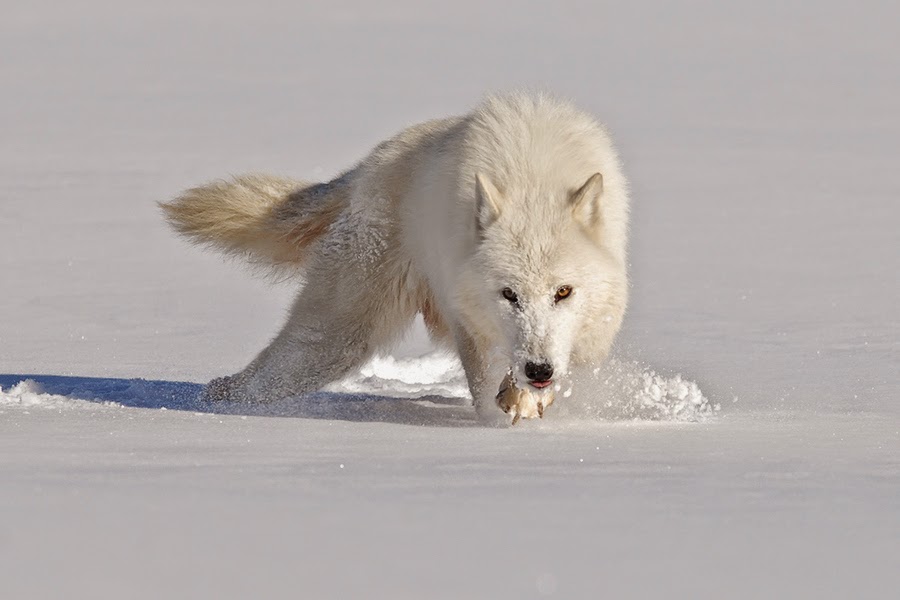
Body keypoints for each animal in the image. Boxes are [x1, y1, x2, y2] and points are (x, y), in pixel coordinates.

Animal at [161, 92, 630, 425]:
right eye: (508, 294)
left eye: (563, 292)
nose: (538, 369)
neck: (532, 179)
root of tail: (367, 166)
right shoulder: (469, 320)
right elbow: (487, 385)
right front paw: (509, 408)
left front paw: (530, 399)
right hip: (337, 340)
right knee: (257, 379)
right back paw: (212, 403)